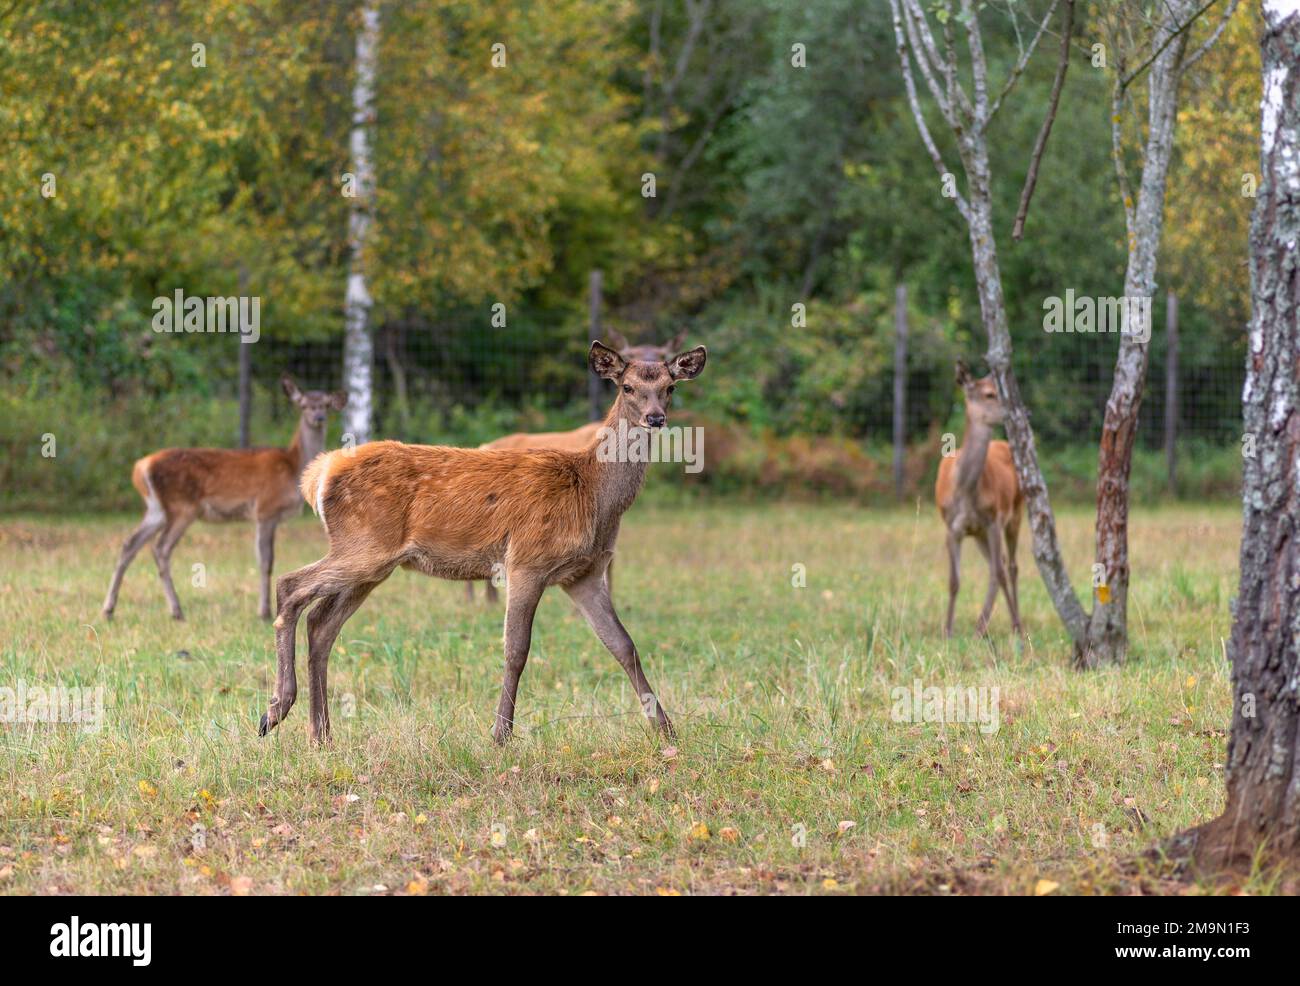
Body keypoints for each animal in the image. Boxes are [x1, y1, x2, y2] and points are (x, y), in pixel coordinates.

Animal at [101, 376, 347, 622]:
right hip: (182, 507)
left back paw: (109, 609)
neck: (293, 468)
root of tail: (140, 467)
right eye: (304, 405)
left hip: (157, 509)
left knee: (130, 544)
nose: (319, 418)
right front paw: (264, 612)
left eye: (326, 404)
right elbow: (265, 561)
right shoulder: (266, 509)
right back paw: (176, 610)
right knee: (160, 548)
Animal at [935, 360, 1024, 638]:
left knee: (1010, 566)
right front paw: (947, 630)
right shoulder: (952, 527)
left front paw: (1005, 624)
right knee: (1000, 564)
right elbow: (954, 581)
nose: (1021, 411)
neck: (965, 490)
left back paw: (1012, 623)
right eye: (989, 394)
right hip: (979, 534)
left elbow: (999, 573)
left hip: (1016, 511)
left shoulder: (993, 519)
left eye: (1001, 390)